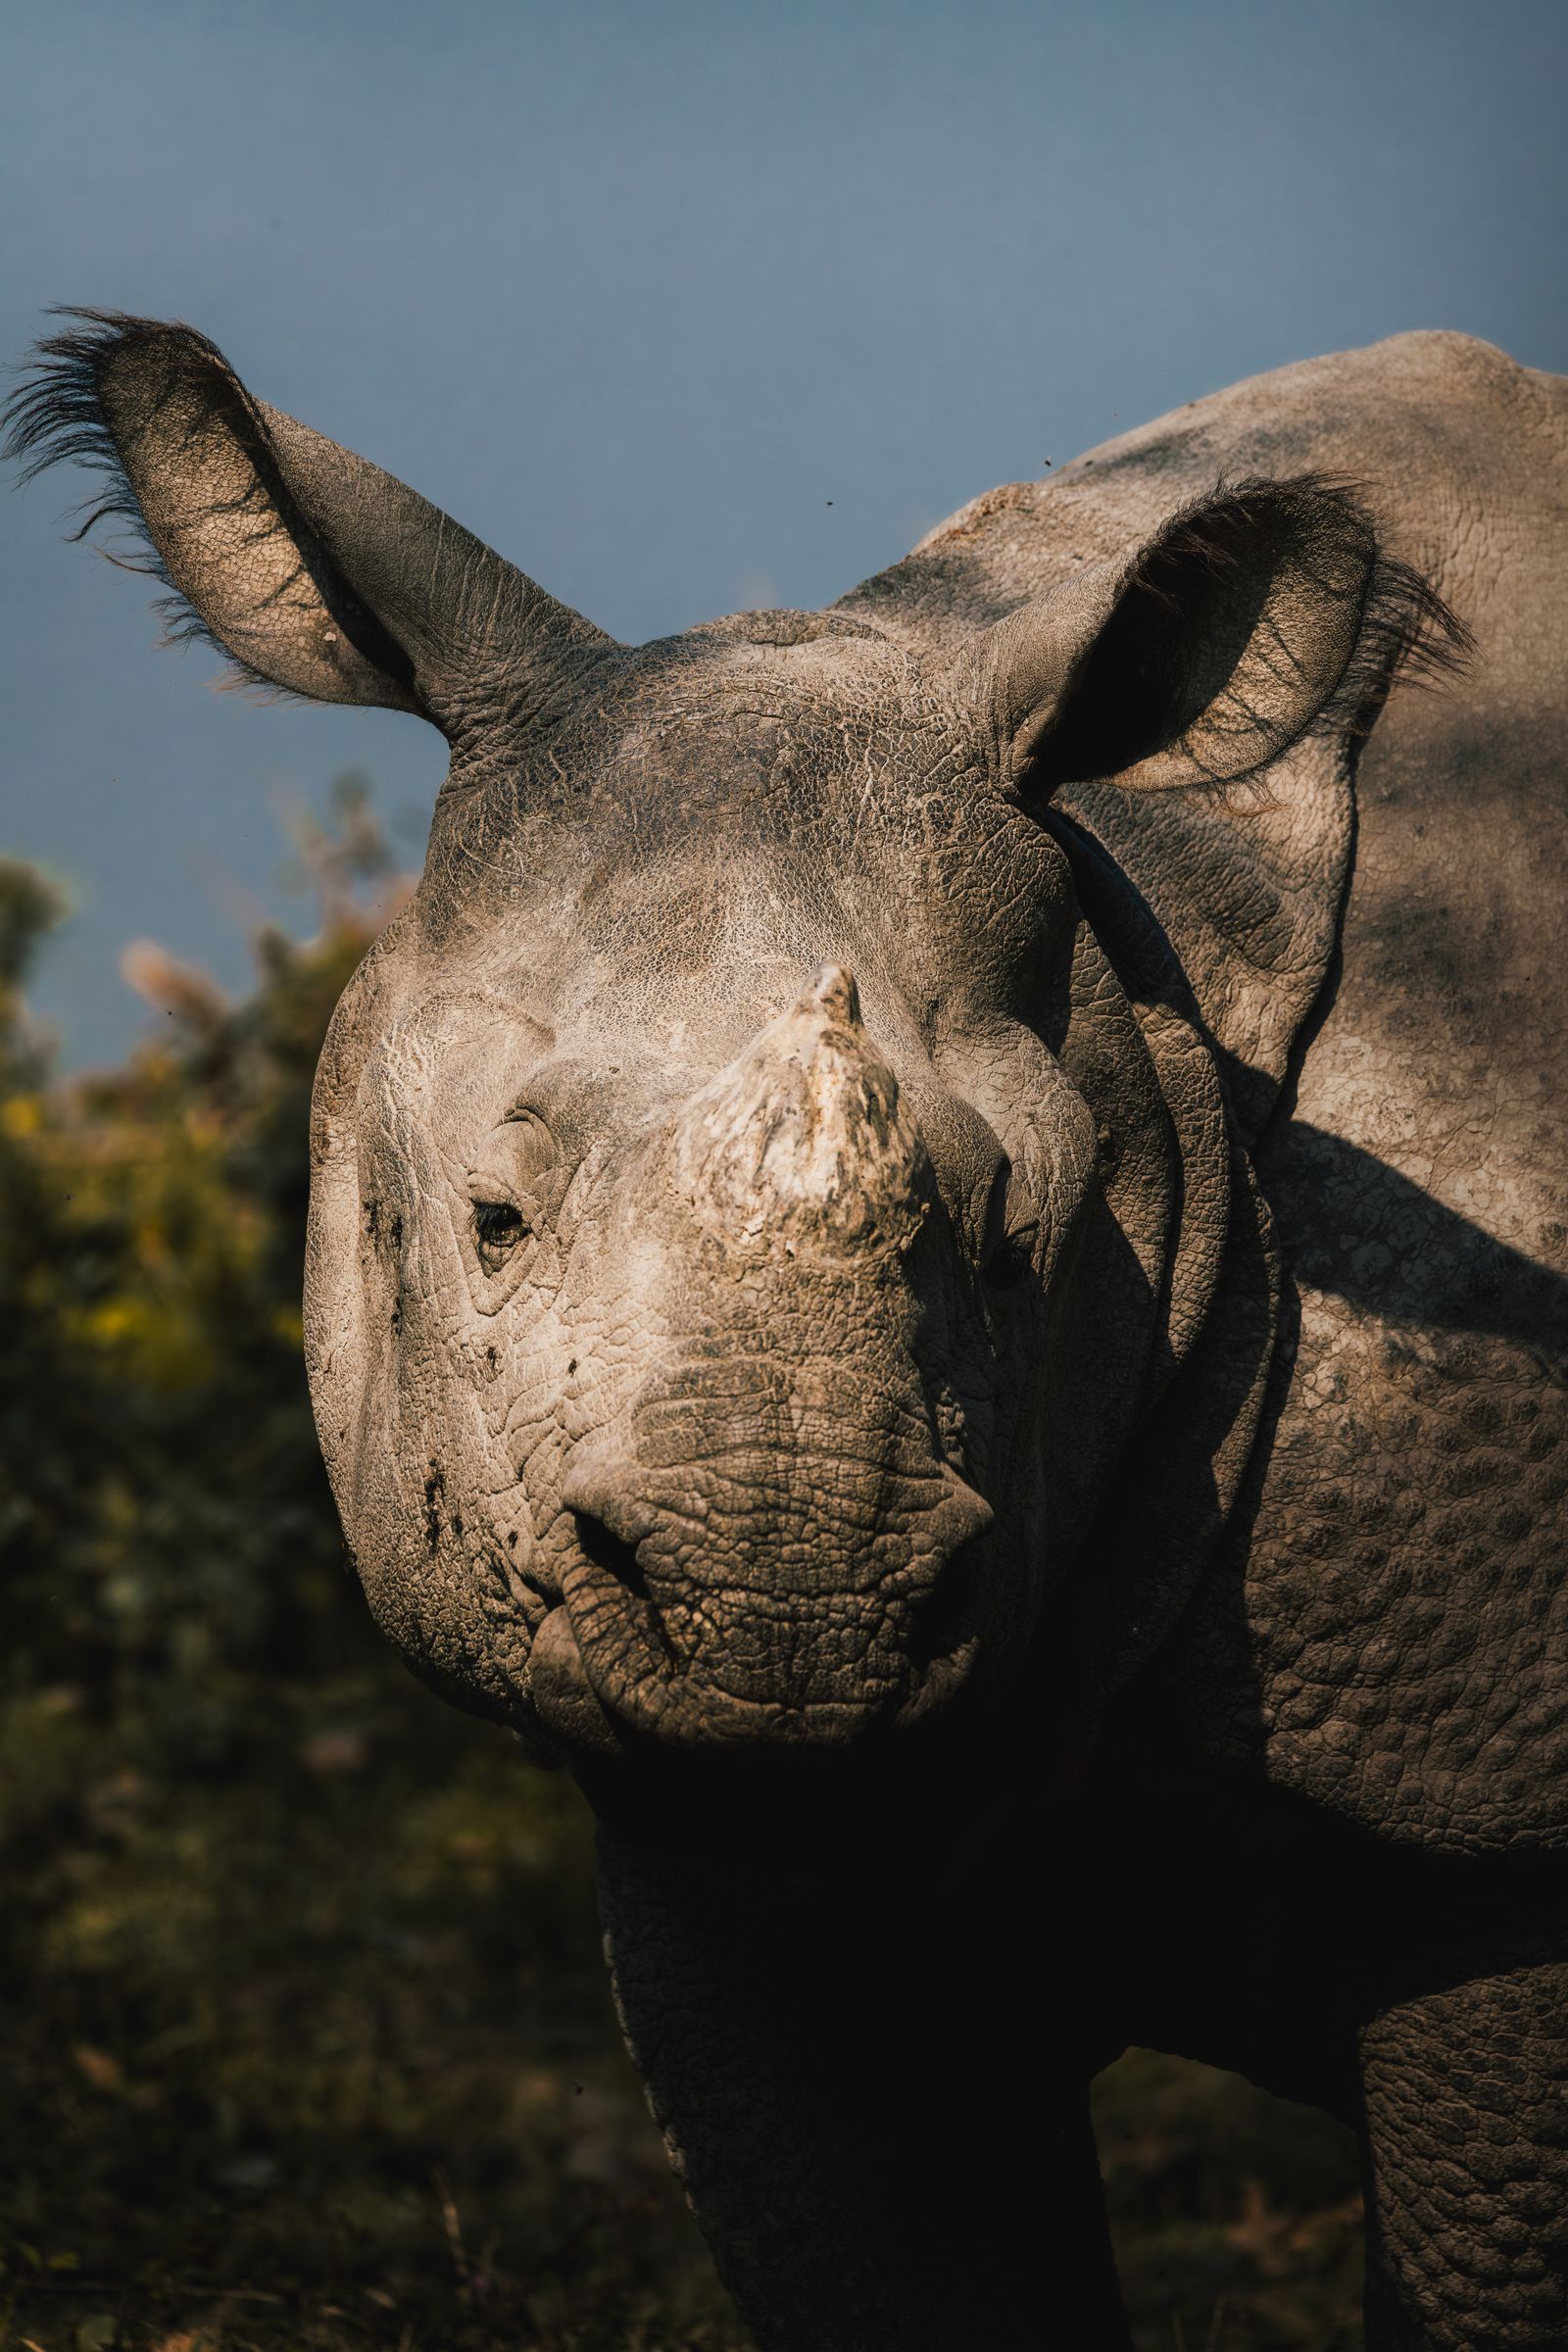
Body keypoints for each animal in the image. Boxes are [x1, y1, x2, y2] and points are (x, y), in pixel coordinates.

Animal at [9, 312, 1566, 2349]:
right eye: (488, 1226)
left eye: (1020, 1249)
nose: (795, 1612)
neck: (1166, 953)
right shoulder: (723, 1822)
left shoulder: (1500, 1837)